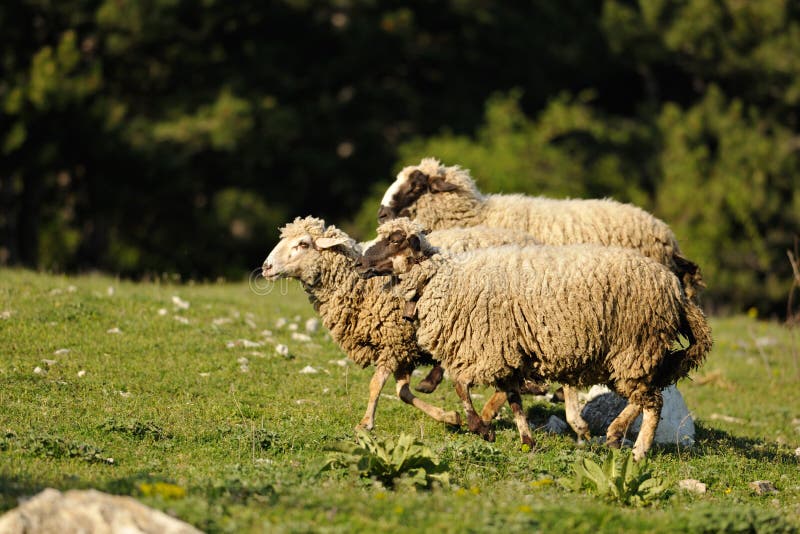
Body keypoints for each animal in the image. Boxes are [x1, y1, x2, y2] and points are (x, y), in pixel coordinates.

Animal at [261, 216, 540, 432]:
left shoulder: (394, 342)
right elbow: (403, 393)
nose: (266, 267)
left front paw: (365, 424)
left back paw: (490, 411)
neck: (362, 288)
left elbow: (376, 385)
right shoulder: (401, 348)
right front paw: (449, 417)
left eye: (303, 244)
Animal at [357, 218, 712, 460]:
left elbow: (460, 384)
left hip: (636, 344)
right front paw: (526, 439)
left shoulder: (487, 348)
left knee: (653, 401)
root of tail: (676, 290)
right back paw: (613, 435)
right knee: (645, 396)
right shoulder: (508, 351)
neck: (444, 280)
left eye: (395, 240)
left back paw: (637, 452)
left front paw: (479, 427)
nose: (360, 263)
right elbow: (513, 397)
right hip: (629, 353)